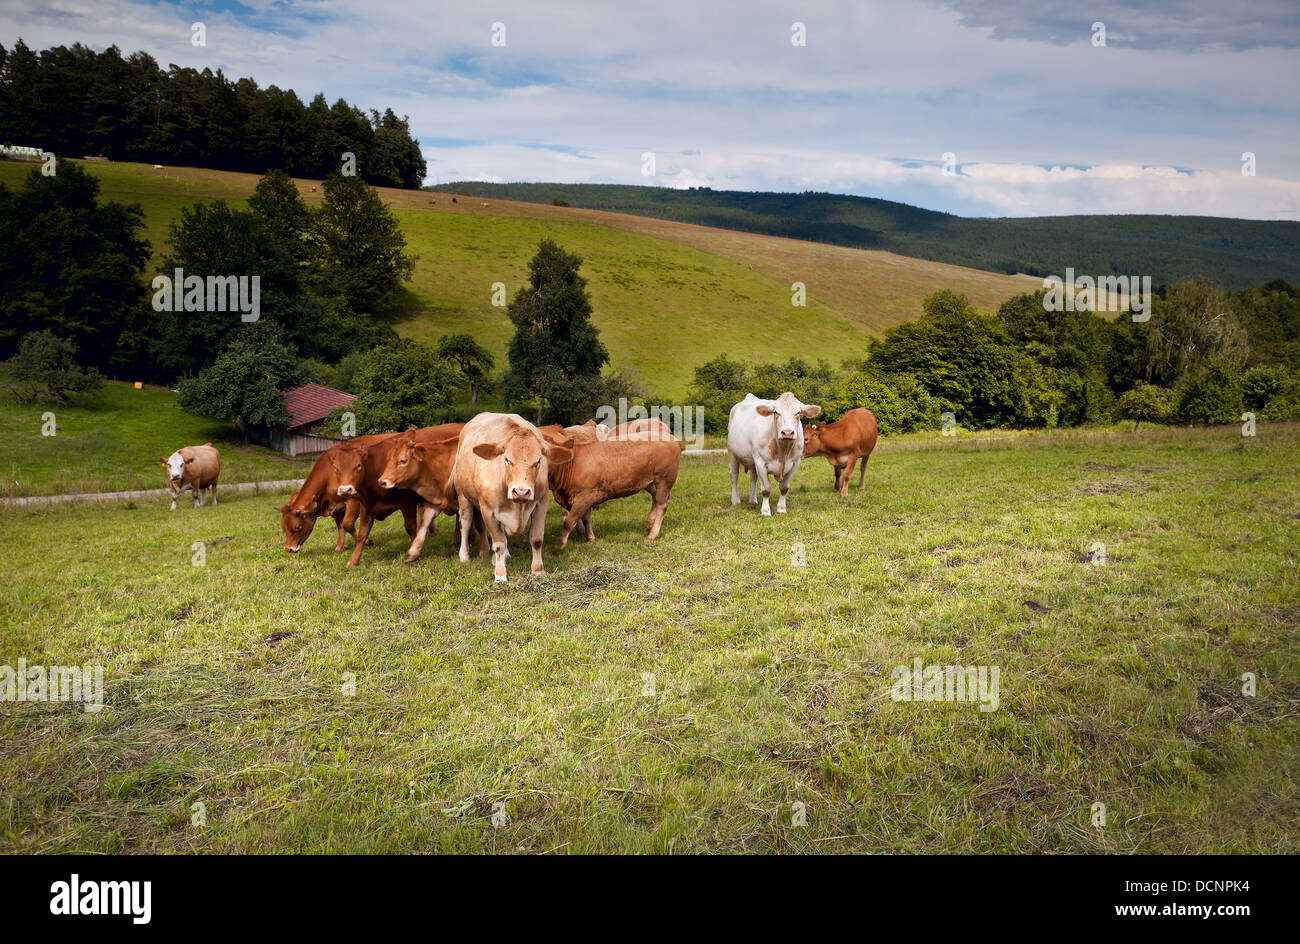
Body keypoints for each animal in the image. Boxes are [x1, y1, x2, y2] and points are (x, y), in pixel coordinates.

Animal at [451, 413, 573, 582]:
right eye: (507, 459)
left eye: (538, 461)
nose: (521, 491)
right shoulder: (487, 510)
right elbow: (499, 543)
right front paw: (500, 575)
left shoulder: (541, 503)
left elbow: (536, 539)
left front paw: (538, 571)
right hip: (463, 496)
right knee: (466, 523)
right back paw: (464, 555)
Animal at [548, 430, 682, 548]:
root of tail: (671, 437)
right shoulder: (587, 497)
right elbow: (586, 519)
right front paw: (590, 538)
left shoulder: (585, 496)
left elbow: (569, 521)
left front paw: (560, 544)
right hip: (648, 482)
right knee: (656, 498)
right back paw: (649, 524)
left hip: (664, 479)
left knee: (662, 503)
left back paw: (653, 533)